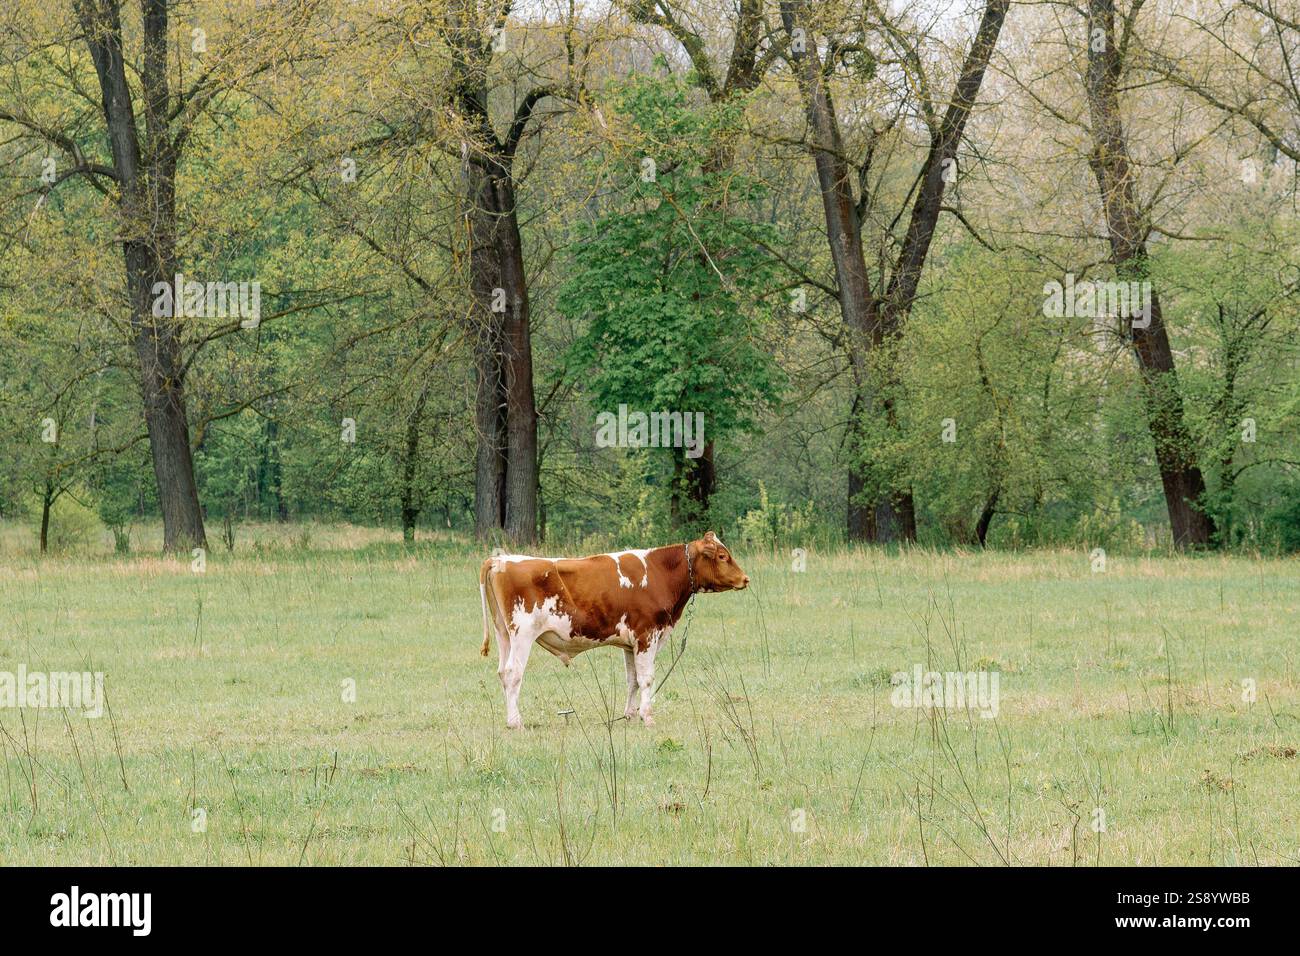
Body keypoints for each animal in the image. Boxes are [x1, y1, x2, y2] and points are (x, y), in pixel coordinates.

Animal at [479, 531, 749, 729]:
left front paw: (630, 715)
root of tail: (501, 559)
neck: (660, 573)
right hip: (522, 633)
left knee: (502, 672)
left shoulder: (630, 643)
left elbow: (632, 680)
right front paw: (647, 717)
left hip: (503, 633)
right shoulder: (647, 635)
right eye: (723, 556)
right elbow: (646, 678)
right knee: (513, 673)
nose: (745, 579)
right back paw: (516, 722)